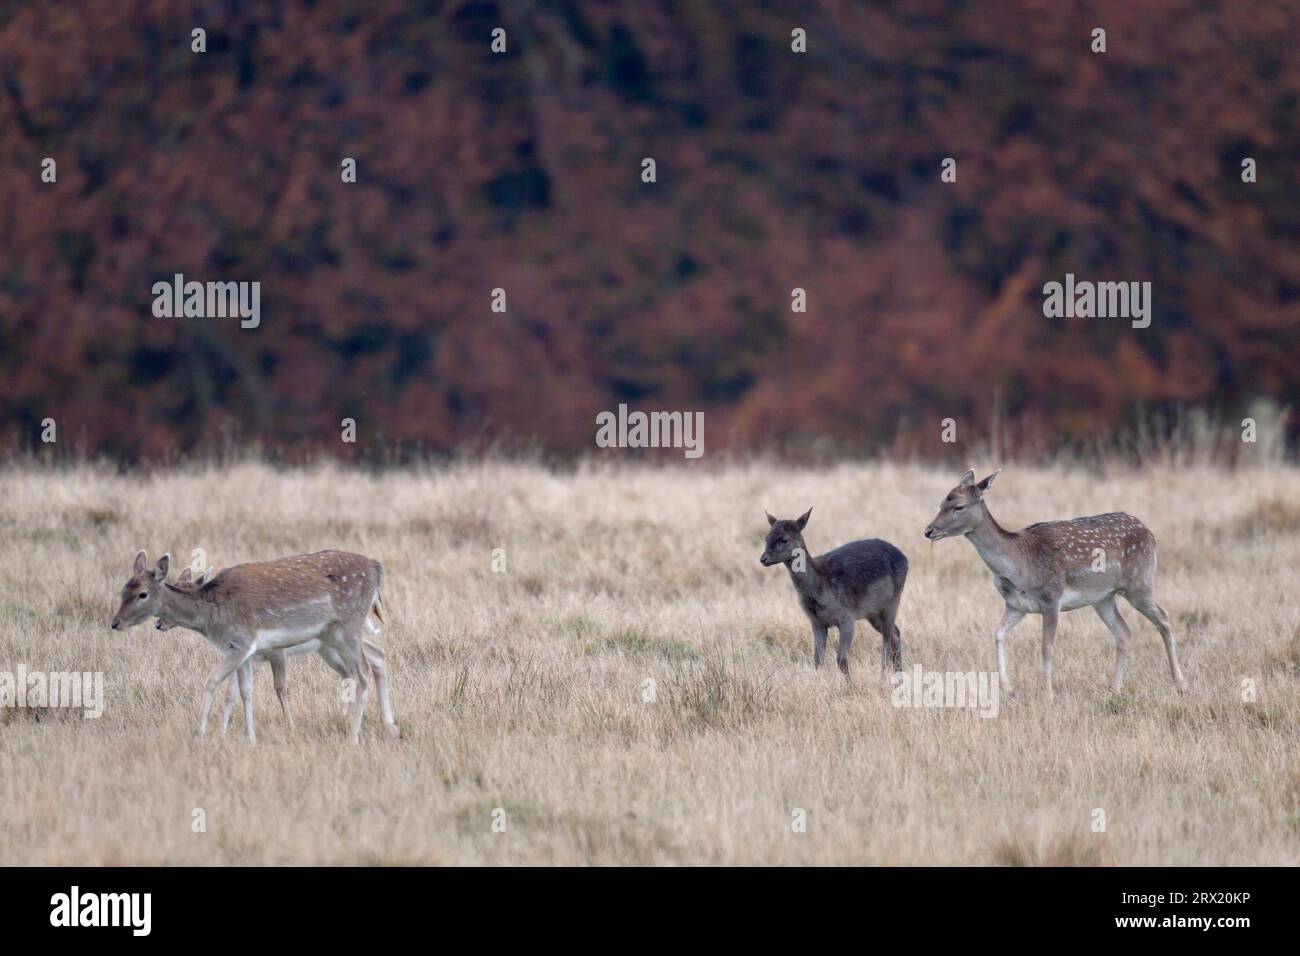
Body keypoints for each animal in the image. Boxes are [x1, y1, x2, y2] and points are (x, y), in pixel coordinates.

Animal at [111, 549, 399, 743]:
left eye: (142, 594)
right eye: (123, 590)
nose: (115, 623)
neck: (213, 616)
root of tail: (376, 568)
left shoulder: (244, 643)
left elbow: (213, 682)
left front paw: (202, 734)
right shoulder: (242, 650)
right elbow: (244, 692)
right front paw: (248, 738)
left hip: (348, 627)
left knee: (362, 672)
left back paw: (353, 737)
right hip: (332, 637)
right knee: (373, 658)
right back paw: (386, 724)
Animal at [760, 509, 908, 676]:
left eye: (783, 539)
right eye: (766, 538)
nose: (763, 559)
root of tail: (905, 558)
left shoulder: (847, 618)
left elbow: (841, 660)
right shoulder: (816, 623)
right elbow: (818, 661)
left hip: (892, 602)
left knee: (887, 643)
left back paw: (883, 676)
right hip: (873, 613)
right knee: (895, 633)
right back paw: (898, 673)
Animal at [923, 468, 1187, 698]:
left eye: (958, 506)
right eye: (941, 503)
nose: (929, 530)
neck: (1018, 566)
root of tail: (1150, 532)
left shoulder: (1051, 598)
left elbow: (1046, 647)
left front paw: (1048, 694)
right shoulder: (1016, 605)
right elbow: (997, 634)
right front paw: (1008, 688)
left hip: (1140, 582)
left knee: (1164, 618)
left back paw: (1180, 682)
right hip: (1103, 597)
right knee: (1124, 632)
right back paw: (1115, 690)